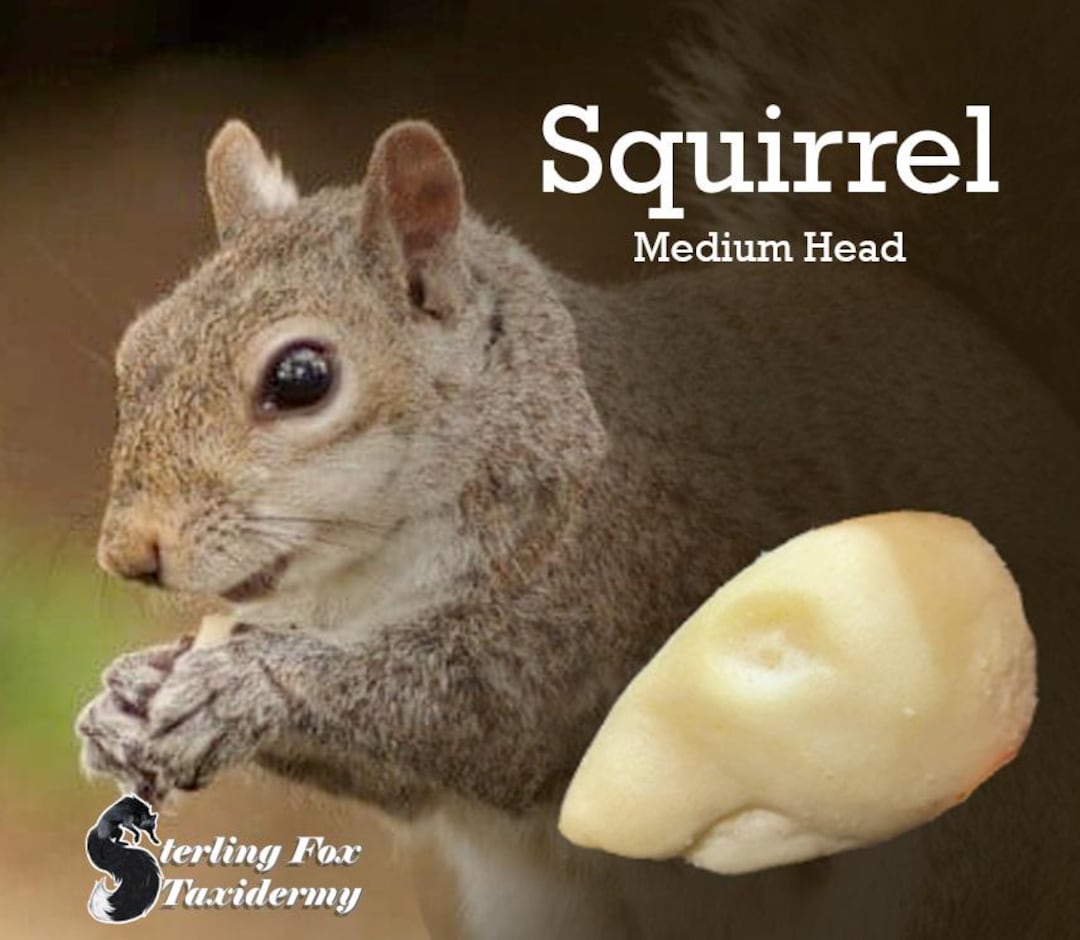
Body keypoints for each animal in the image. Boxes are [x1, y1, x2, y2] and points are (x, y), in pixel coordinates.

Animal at [76, 8, 1080, 939]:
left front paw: (240, 685)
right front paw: (123, 696)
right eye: (136, 350)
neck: (366, 579)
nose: (128, 556)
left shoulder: (615, 577)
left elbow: (494, 714)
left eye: (300, 378)